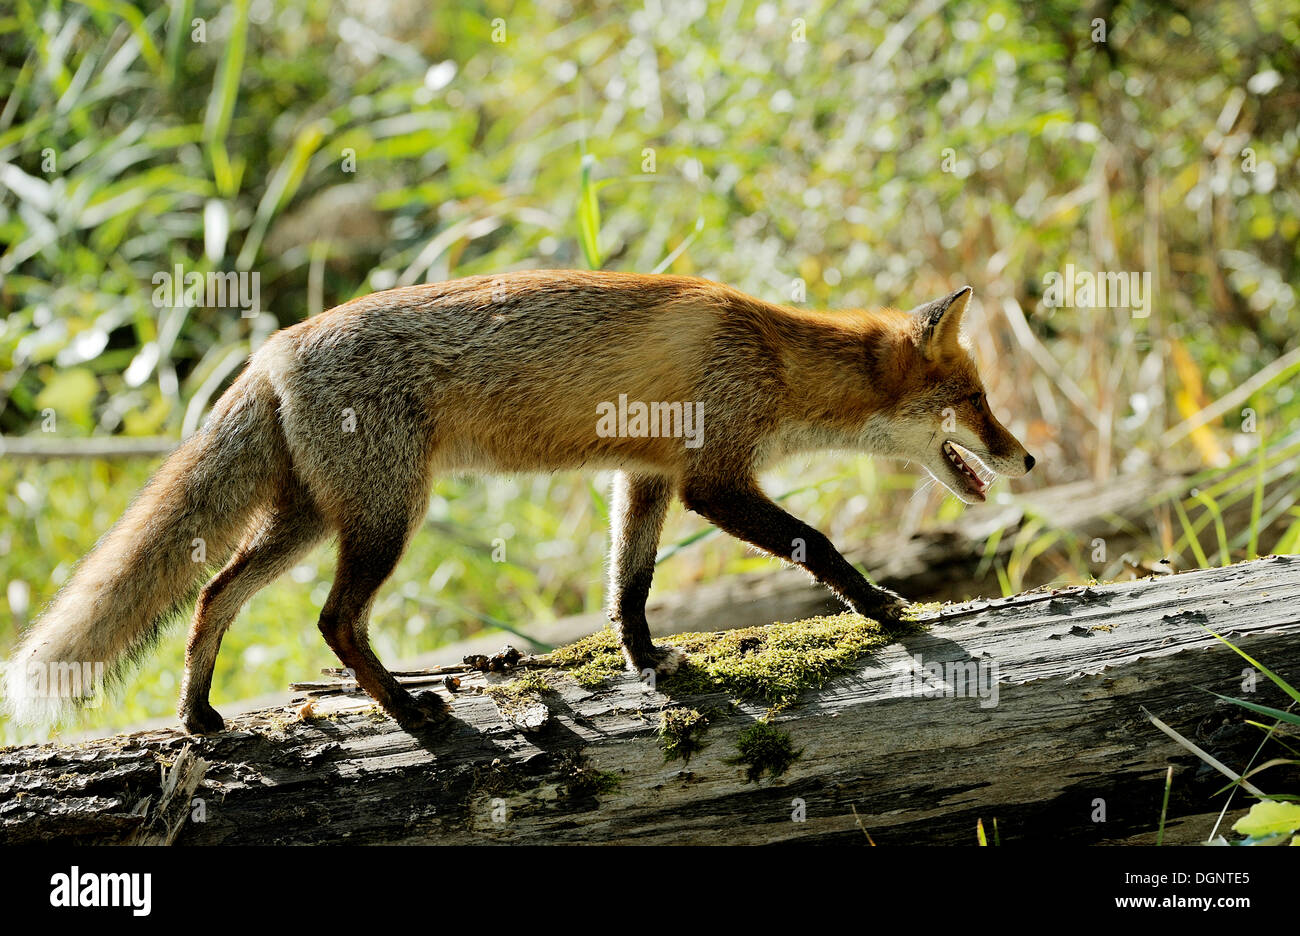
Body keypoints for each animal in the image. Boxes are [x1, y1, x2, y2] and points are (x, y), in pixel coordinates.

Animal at [3, 270, 1033, 736]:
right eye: (977, 399)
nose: (1025, 455)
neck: (772, 357)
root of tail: (276, 346)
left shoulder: (645, 477)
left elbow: (629, 585)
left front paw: (647, 663)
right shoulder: (711, 477)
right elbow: (815, 543)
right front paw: (883, 608)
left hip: (312, 520)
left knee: (215, 594)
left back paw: (198, 718)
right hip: (386, 519)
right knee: (333, 621)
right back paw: (409, 715)